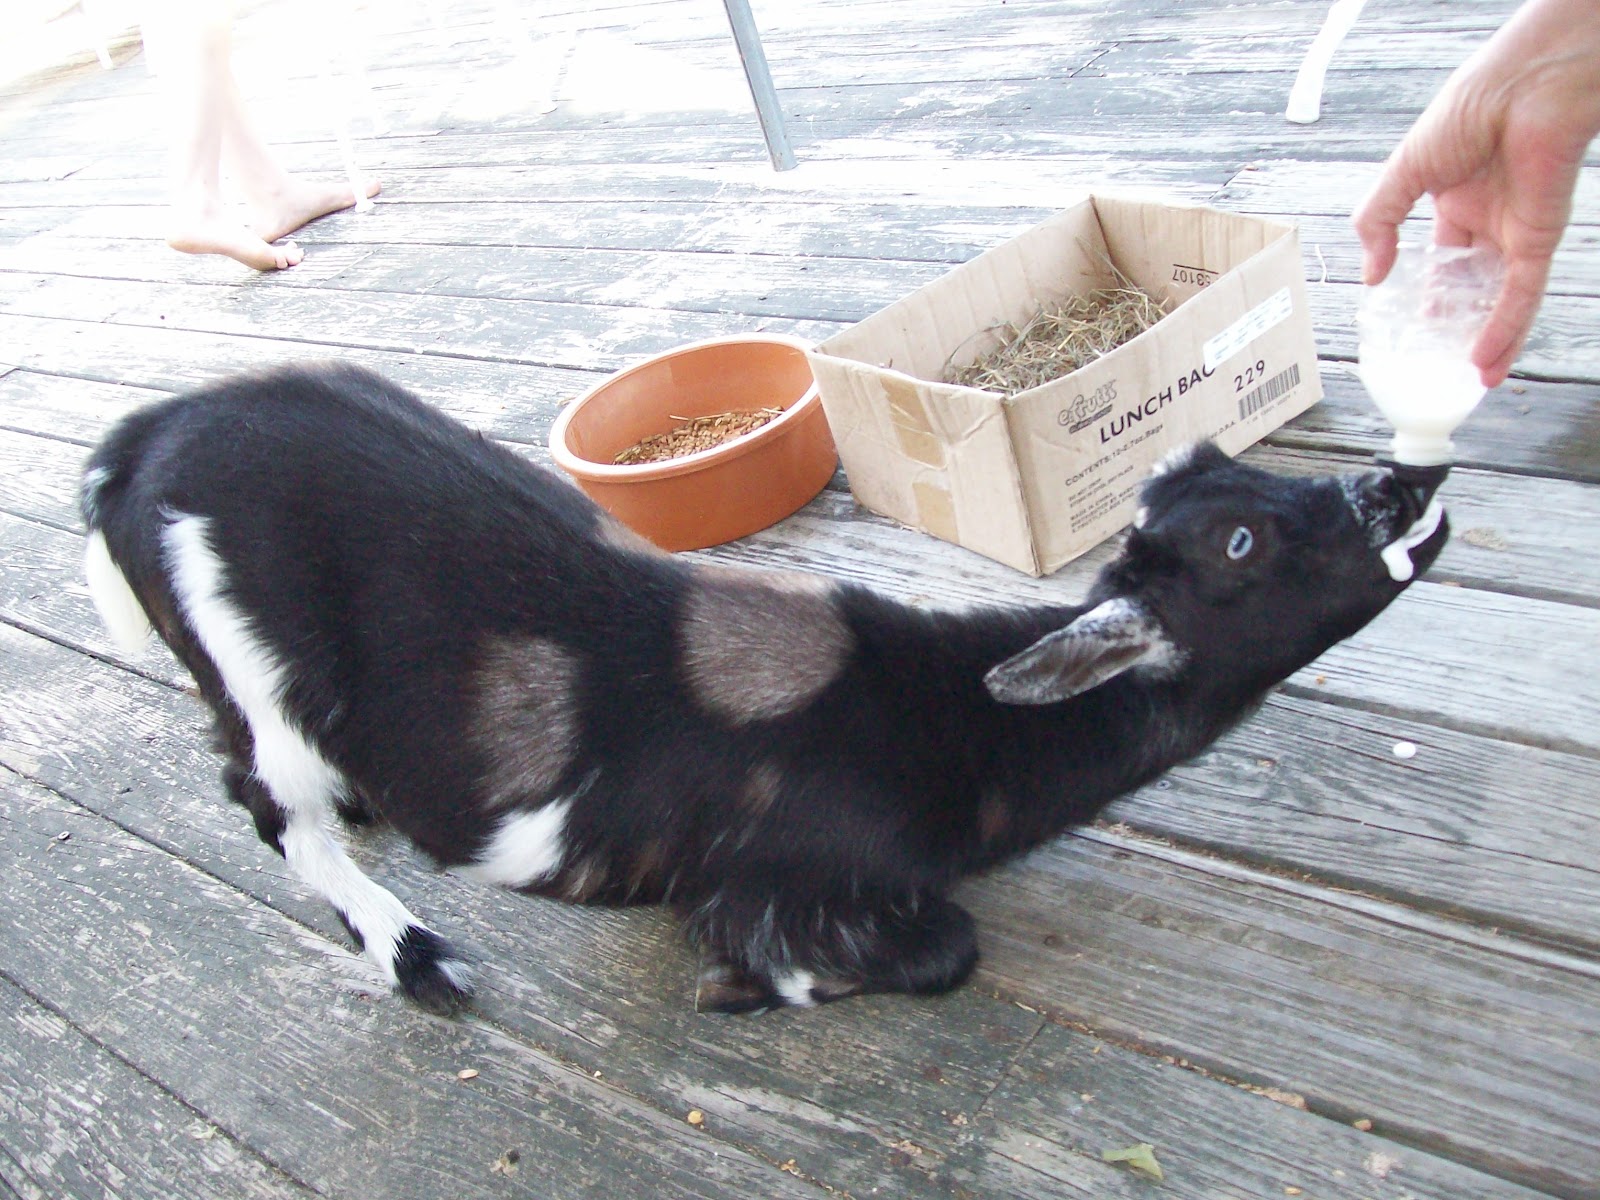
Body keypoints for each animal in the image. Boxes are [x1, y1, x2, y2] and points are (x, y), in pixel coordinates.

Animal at [80, 362, 1447, 1014]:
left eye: (1233, 481)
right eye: (1241, 547)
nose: (1404, 486)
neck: (948, 721)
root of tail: (141, 444)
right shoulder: (791, 873)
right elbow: (941, 952)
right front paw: (745, 987)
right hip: (245, 665)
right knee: (267, 807)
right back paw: (419, 958)